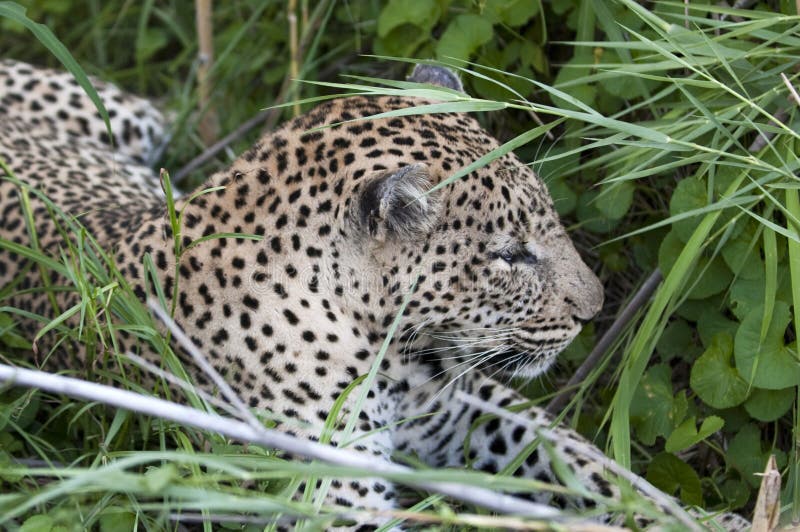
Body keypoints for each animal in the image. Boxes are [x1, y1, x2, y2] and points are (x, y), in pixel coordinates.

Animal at [0, 59, 750, 530]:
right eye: (508, 255)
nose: (592, 311)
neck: (393, 353)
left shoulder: (466, 411)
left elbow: (587, 468)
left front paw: (700, 517)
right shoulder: (338, 497)